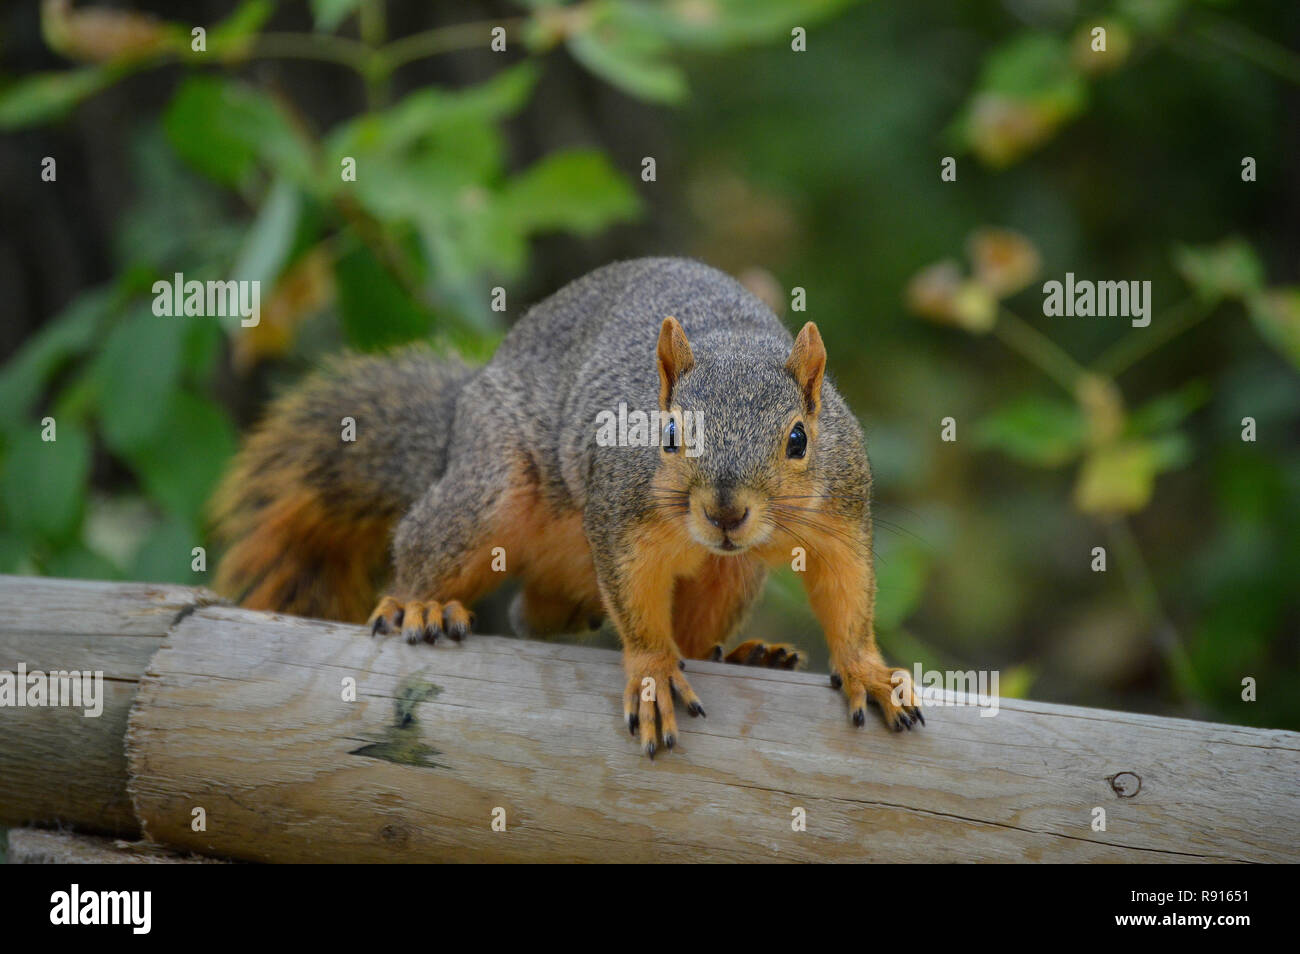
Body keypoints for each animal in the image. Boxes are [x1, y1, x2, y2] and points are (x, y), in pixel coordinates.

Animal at [212, 257, 923, 757]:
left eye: (799, 440)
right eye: (668, 433)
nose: (725, 514)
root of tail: (457, 427)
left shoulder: (841, 511)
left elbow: (847, 594)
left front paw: (868, 672)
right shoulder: (619, 517)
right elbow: (637, 609)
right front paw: (652, 675)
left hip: (732, 572)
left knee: (575, 616)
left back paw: (740, 655)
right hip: (490, 491)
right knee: (430, 546)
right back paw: (417, 603)